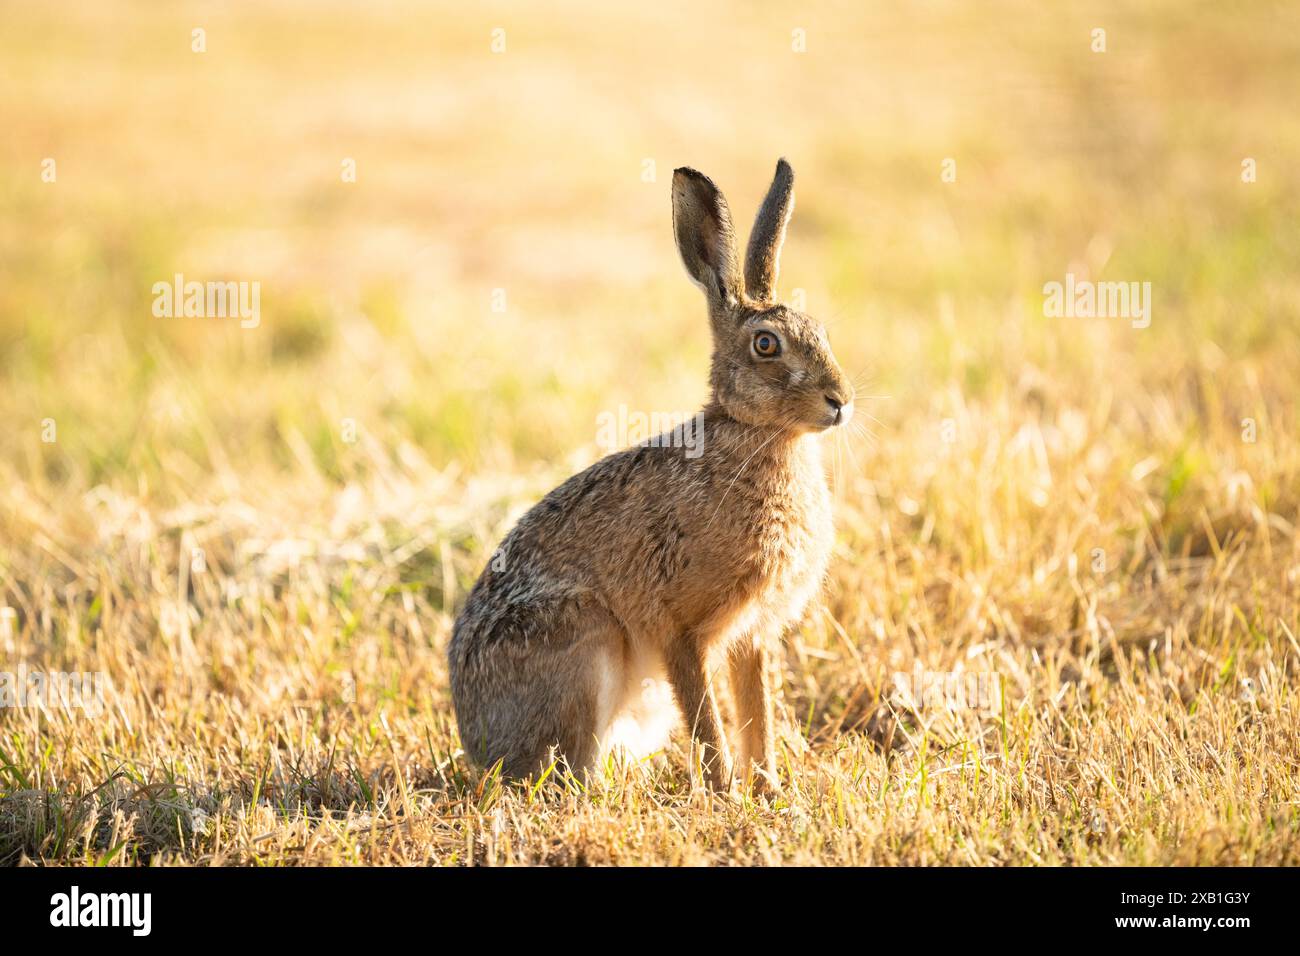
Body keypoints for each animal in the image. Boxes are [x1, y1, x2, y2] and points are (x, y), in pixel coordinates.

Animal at [449, 159, 854, 793]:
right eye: (767, 344)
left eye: (822, 333)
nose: (841, 400)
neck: (755, 436)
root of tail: (477, 743)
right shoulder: (682, 630)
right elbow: (708, 720)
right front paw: (725, 792)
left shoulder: (753, 635)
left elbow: (756, 715)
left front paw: (768, 789)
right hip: (582, 641)